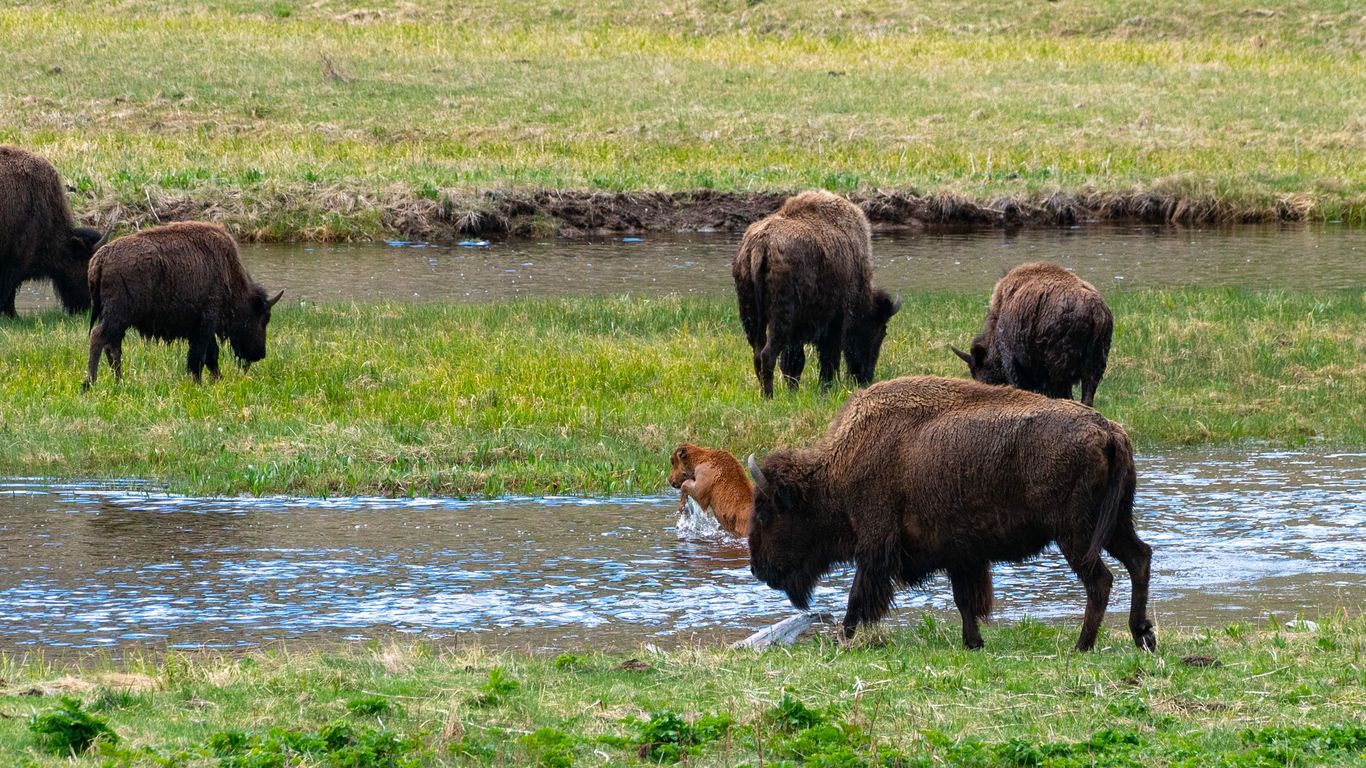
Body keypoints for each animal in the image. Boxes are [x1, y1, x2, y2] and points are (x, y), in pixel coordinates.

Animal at [85, 222, 283, 386]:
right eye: (263, 318)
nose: (260, 354)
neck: (229, 274)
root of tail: (100, 258)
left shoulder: (200, 328)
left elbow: (210, 355)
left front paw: (216, 379)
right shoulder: (206, 323)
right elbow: (201, 355)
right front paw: (199, 382)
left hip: (115, 318)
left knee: (112, 346)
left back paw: (118, 381)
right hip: (118, 316)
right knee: (99, 337)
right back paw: (90, 383)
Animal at [732, 190, 900, 397]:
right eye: (880, 330)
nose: (864, 378)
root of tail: (761, 244)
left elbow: (794, 362)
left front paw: (794, 391)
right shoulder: (835, 322)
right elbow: (828, 358)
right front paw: (825, 388)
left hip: (751, 317)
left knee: (758, 354)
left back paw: (765, 393)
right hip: (781, 320)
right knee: (767, 354)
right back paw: (769, 397)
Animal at [746, 375, 1155, 652]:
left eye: (766, 514)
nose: (758, 570)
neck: (838, 469)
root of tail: (1108, 430)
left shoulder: (875, 544)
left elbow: (858, 595)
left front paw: (843, 637)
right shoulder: (961, 554)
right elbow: (964, 600)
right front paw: (973, 642)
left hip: (1076, 534)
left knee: (1100, 580)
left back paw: (1082, 645)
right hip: (1113, 525)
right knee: (1139, 558)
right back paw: (1142, 635)